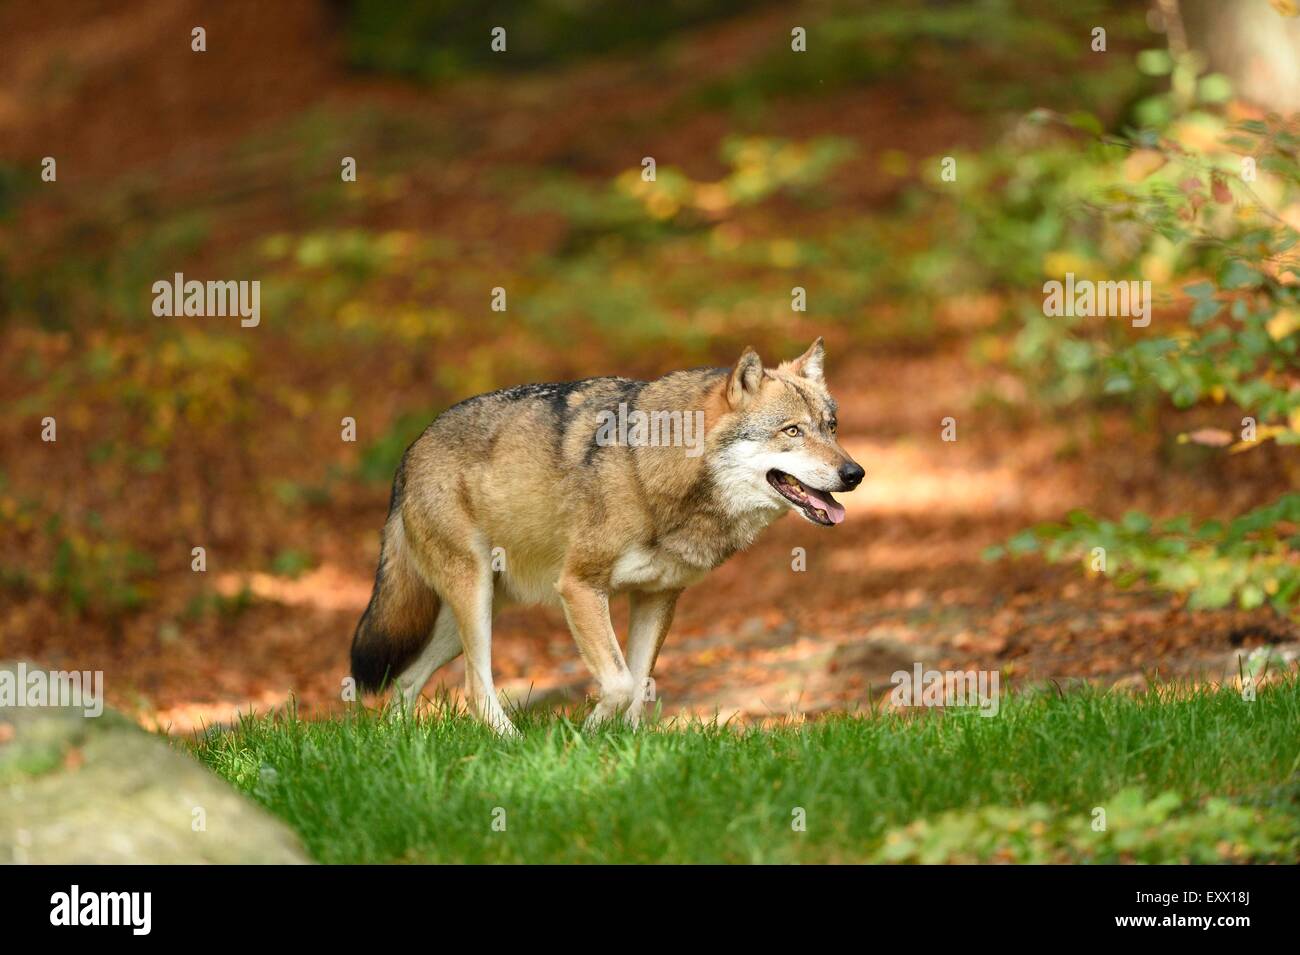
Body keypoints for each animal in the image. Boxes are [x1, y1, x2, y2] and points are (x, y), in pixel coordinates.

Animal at [349, 338, 864, 736]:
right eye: (791, 431)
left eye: (831, 427)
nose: (854, 473)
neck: (650, 471)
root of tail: (409, 453)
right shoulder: (578, 587)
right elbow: (619, 683)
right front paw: (587, 736)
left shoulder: (658, 598)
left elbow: (637, 688)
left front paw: (626, 751)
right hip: (474, 597)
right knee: (474, 687)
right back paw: (510, 745)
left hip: (476, 611)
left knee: (405, 681)